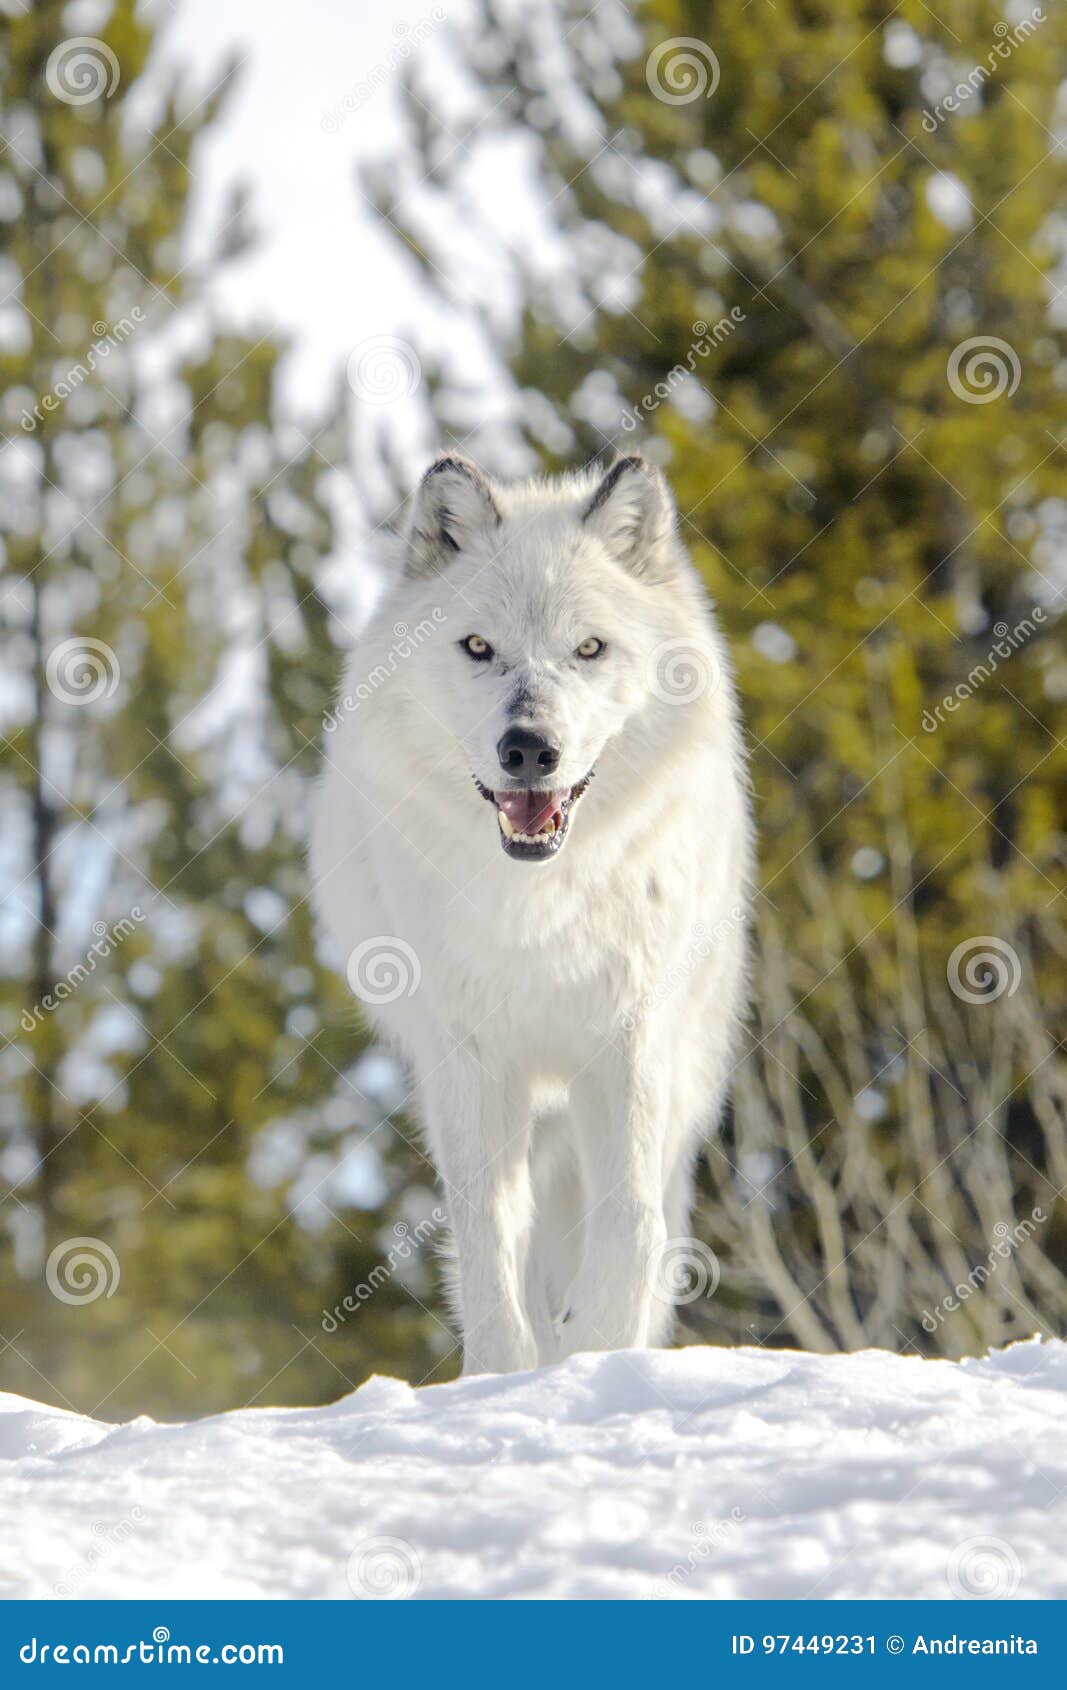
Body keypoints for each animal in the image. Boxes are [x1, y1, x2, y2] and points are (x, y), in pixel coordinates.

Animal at [311, 453, 751, 1375]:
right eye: (479, 647)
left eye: (589, 648)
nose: (528, 748)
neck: (541, 910)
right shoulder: (469, 1060)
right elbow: (486, 1235)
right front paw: (506, 1373)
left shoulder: (628, 1041)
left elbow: (630, 1221)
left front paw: (600, 1355)